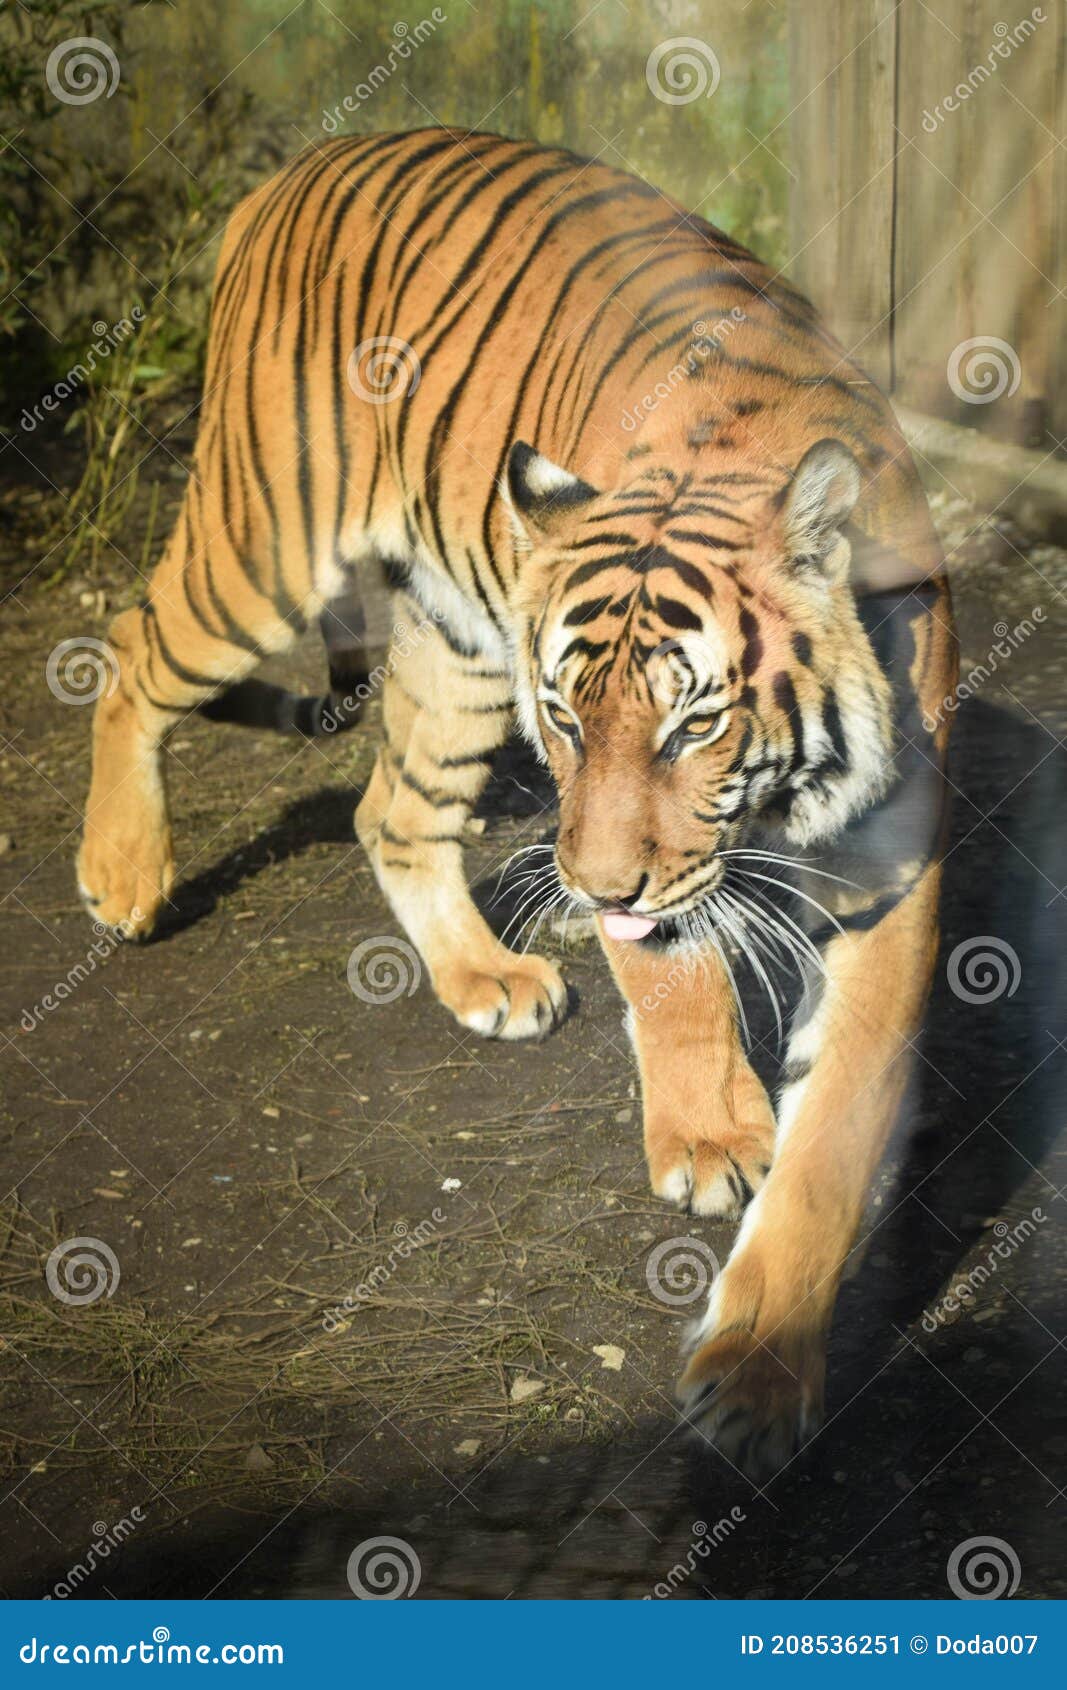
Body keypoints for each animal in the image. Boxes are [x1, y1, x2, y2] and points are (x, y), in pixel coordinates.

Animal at [77, 128, 957, 1479]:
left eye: (694, 724)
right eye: (569, 721)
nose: (589, 887)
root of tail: (292, 168)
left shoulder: (889, 877)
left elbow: (836, 1136)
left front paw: (757, 1377)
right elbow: (671, 969)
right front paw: (710, 1138)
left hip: (452, 644)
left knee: (388, 811)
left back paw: (485, 977)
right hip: (265, 552)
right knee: (128, 649)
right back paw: (122, 877)